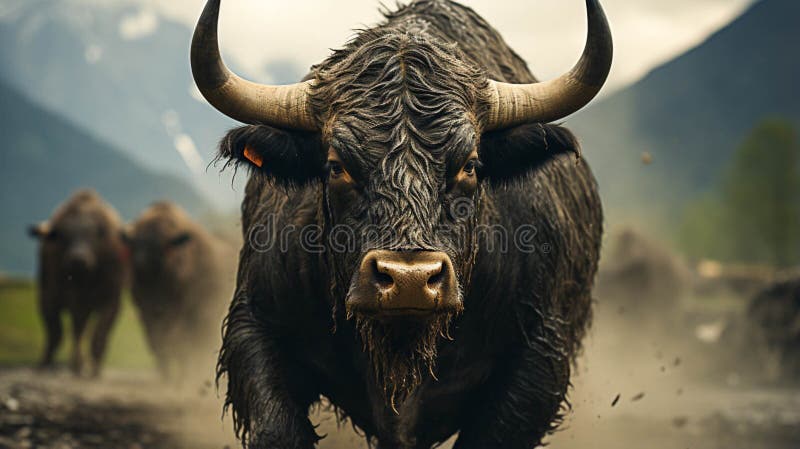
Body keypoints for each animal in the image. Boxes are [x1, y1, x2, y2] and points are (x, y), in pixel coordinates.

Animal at [28, 190, 126, 377]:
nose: (78, 259)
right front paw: (45, 364)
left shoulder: (111, 300)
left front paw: (94, 369)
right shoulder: (51, 297)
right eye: (64, 236)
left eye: (93, 236)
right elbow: (56, 331)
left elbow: (99, 334)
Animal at [126, 202, 234, 381]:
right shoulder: (147, 313)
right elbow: (159, 344)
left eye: (159, 245)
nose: (140, 262)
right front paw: (168, 376)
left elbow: (181, 346)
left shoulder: (185, 316)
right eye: (135, 243)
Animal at [190, 0, 612, 448]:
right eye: (337, 166)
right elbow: (277, 429)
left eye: (470, 165)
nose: (409, 280)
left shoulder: (536, 362)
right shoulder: (255, 330)